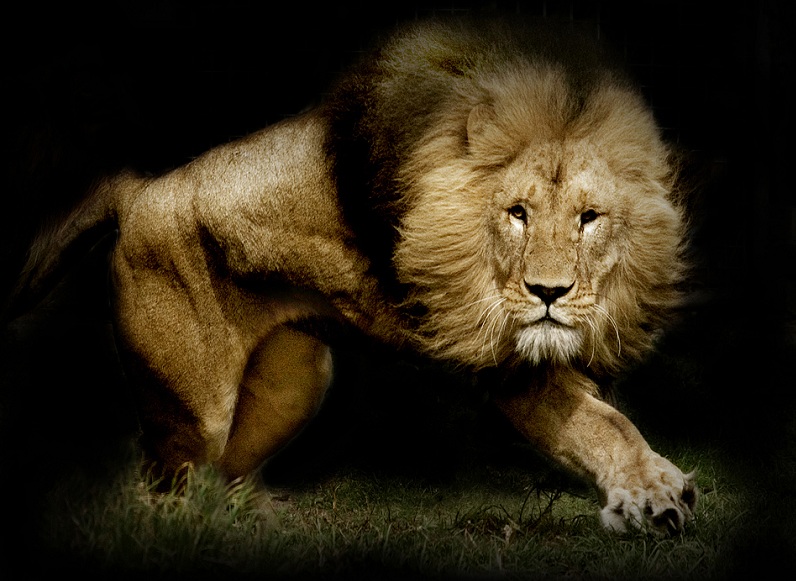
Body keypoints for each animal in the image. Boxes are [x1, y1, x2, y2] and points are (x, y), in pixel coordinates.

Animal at [11, 19, 696, 534]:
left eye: (589, 218)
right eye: (517, 213)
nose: (548, 293)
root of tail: (137, 191)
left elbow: (606, 415)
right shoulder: (503, 361)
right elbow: (601, 423)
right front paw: (653, 492)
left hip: (294, 382)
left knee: (221, 478)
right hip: (192, 413)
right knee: (162, 495)